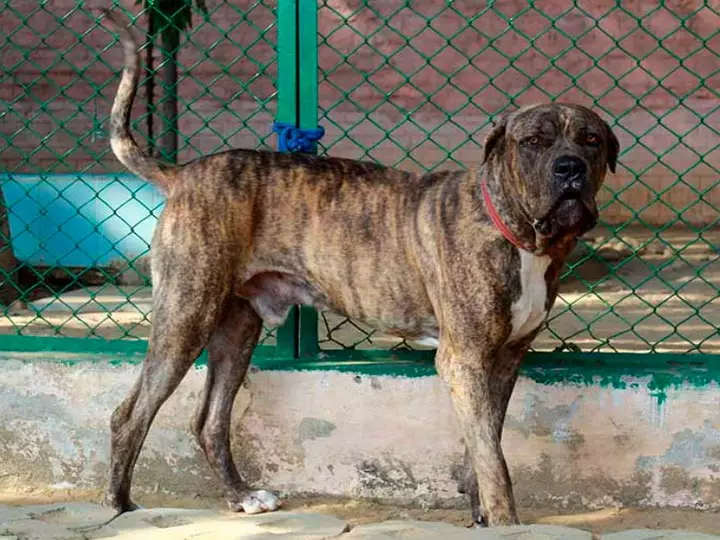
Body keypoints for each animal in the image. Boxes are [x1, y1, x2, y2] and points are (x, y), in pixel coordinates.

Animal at [100, 9, 620, 528]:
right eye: (533, 142)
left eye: (591, 140)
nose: (570, 168)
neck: (518, 233)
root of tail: (183, 172)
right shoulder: (465, 358)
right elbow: (494, 460)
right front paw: (504, 521)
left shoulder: (505, 358)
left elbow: (483, 445)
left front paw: (481, 516)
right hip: (186, 315)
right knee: (130, 413)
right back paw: (120, 506)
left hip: (237, 327)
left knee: (209, 420)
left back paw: (243, 496)